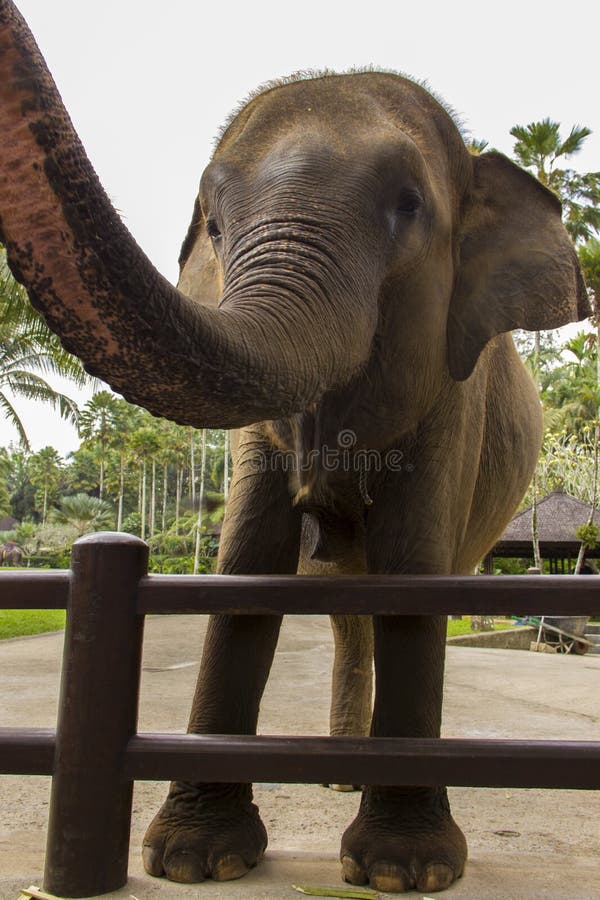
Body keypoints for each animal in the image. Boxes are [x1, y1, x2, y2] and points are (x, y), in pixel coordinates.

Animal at [0, 2, 588, 893]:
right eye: (214, 225)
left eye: (409, 205)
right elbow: (248, 561)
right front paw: (193, 859)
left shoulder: (456, 398)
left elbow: (414, 570)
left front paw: (403, 870)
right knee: (349, 613)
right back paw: (340, 775)